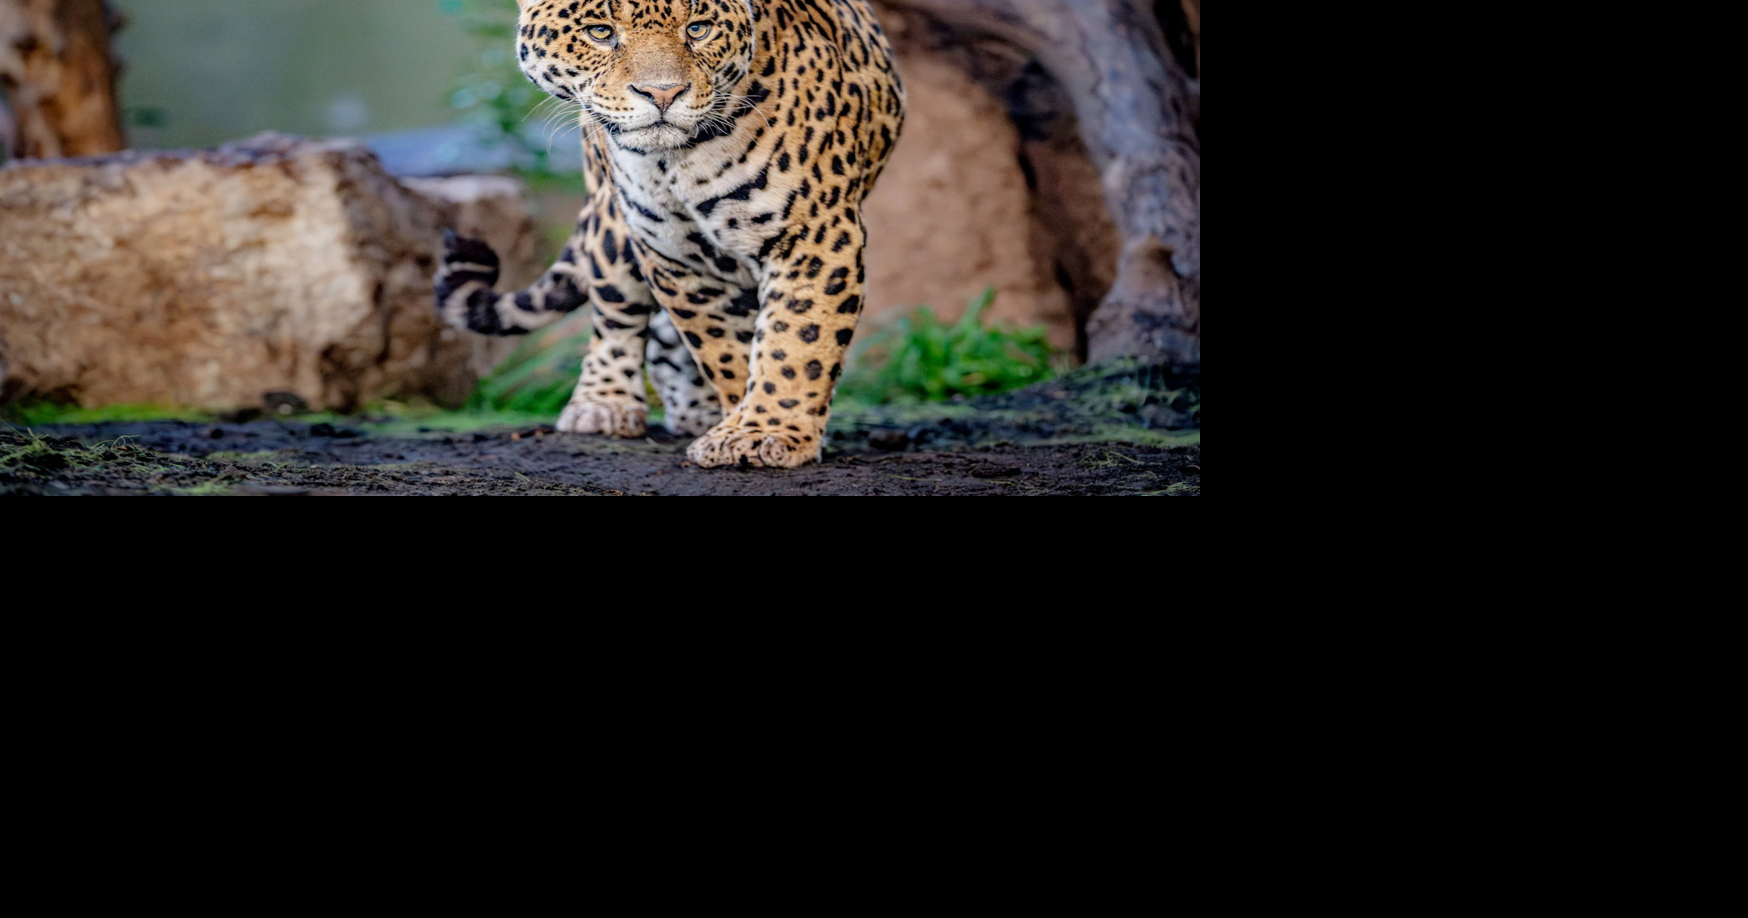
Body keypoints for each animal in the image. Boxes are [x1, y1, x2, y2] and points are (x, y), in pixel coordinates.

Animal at [436, 0, 905, 468]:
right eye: (600, 32)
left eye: (698, 29)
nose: (662, 94)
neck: (679, 159)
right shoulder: (672, 253)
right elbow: (724, 350)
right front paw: (743, 421)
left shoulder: (814, 234)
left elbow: (795, 342)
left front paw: (765, 431)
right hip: (612, 226)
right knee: (615, 314)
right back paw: (605, 404)